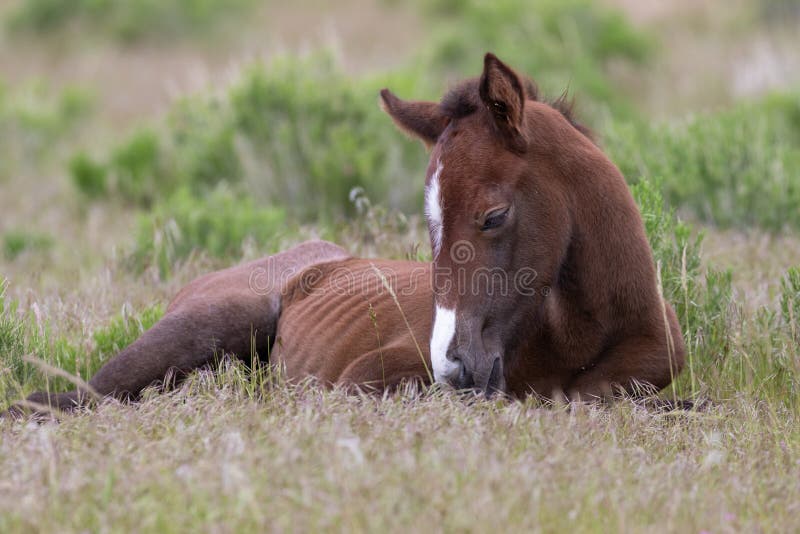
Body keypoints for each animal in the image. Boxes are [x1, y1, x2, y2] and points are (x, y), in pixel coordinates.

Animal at [3, 53, 685, 418]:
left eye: (492, 216)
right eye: (428, 222)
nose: (454, 365)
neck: (582, 334)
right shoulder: (364, 378)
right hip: (196, 333)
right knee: (57, 398)